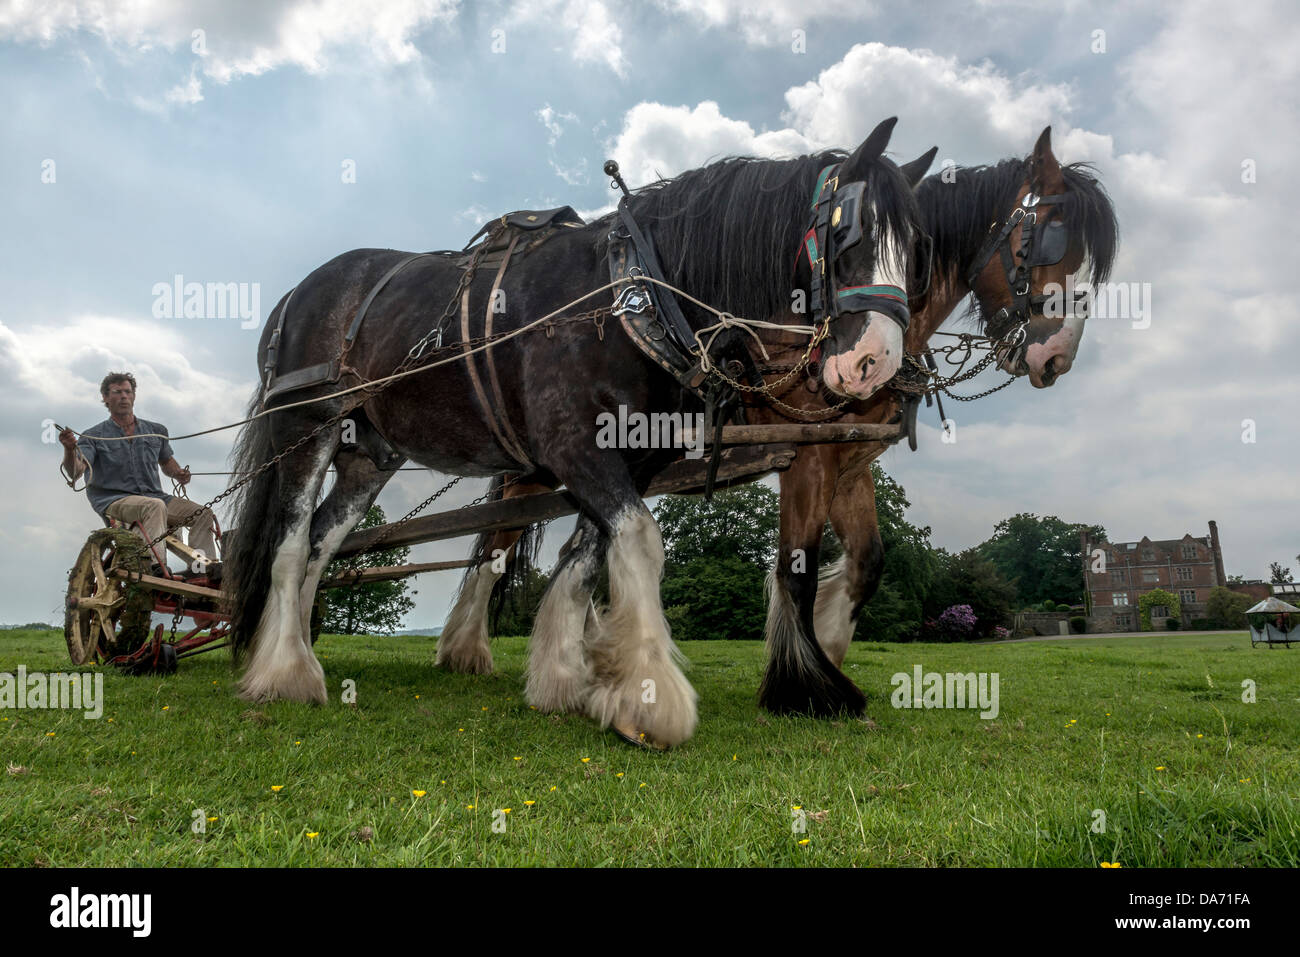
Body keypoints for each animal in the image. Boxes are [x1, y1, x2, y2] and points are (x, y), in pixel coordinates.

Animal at [226, 117, 935, 748]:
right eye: (849, 229)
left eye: (918, 251)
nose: (877, 362)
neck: (631, 300)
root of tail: (299, 292)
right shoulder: (572, 449)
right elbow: (640, 545)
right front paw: (651, 702)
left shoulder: (633, 462)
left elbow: (584, 561)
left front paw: (567, 681)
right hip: (306, 421)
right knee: (290, 541)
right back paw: (287, 673)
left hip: (369, 455)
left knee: (322, 543)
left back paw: (293, 651)